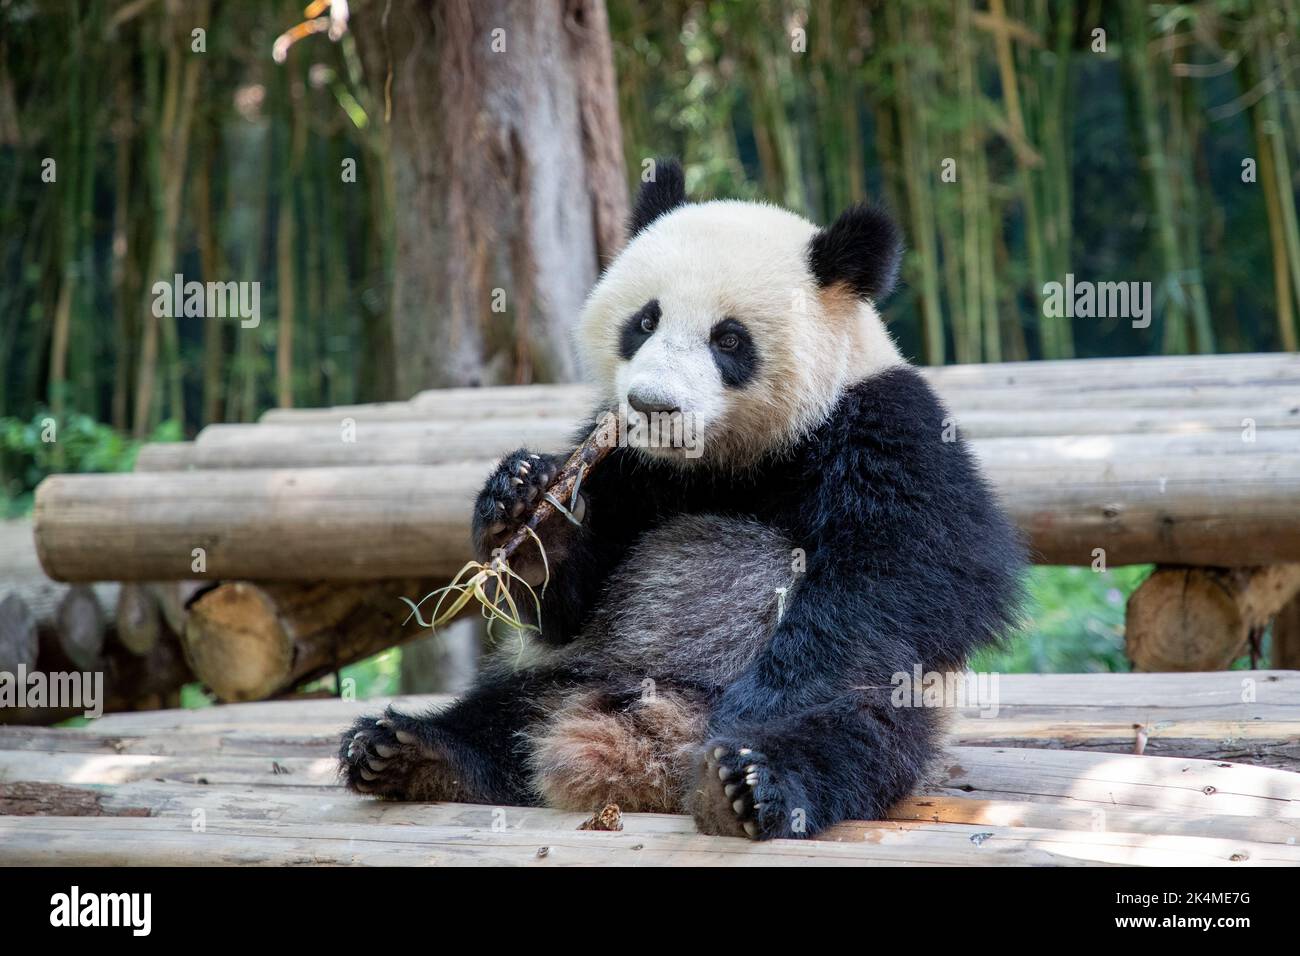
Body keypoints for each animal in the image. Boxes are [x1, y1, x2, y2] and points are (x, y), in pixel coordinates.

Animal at [339, 160, 1025, 840]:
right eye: (645, 321)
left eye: (729, 339)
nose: (652, 406)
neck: (723, 459)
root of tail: (649, 745)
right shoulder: (624, 462)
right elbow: (570, 600)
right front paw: (524, 506)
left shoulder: (883, 430)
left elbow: (900, 582)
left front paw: (757, 717)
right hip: (580, 667)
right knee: (502, 712)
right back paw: (407, 752)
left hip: (899, 709)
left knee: (856, 733)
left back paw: (747, 783)